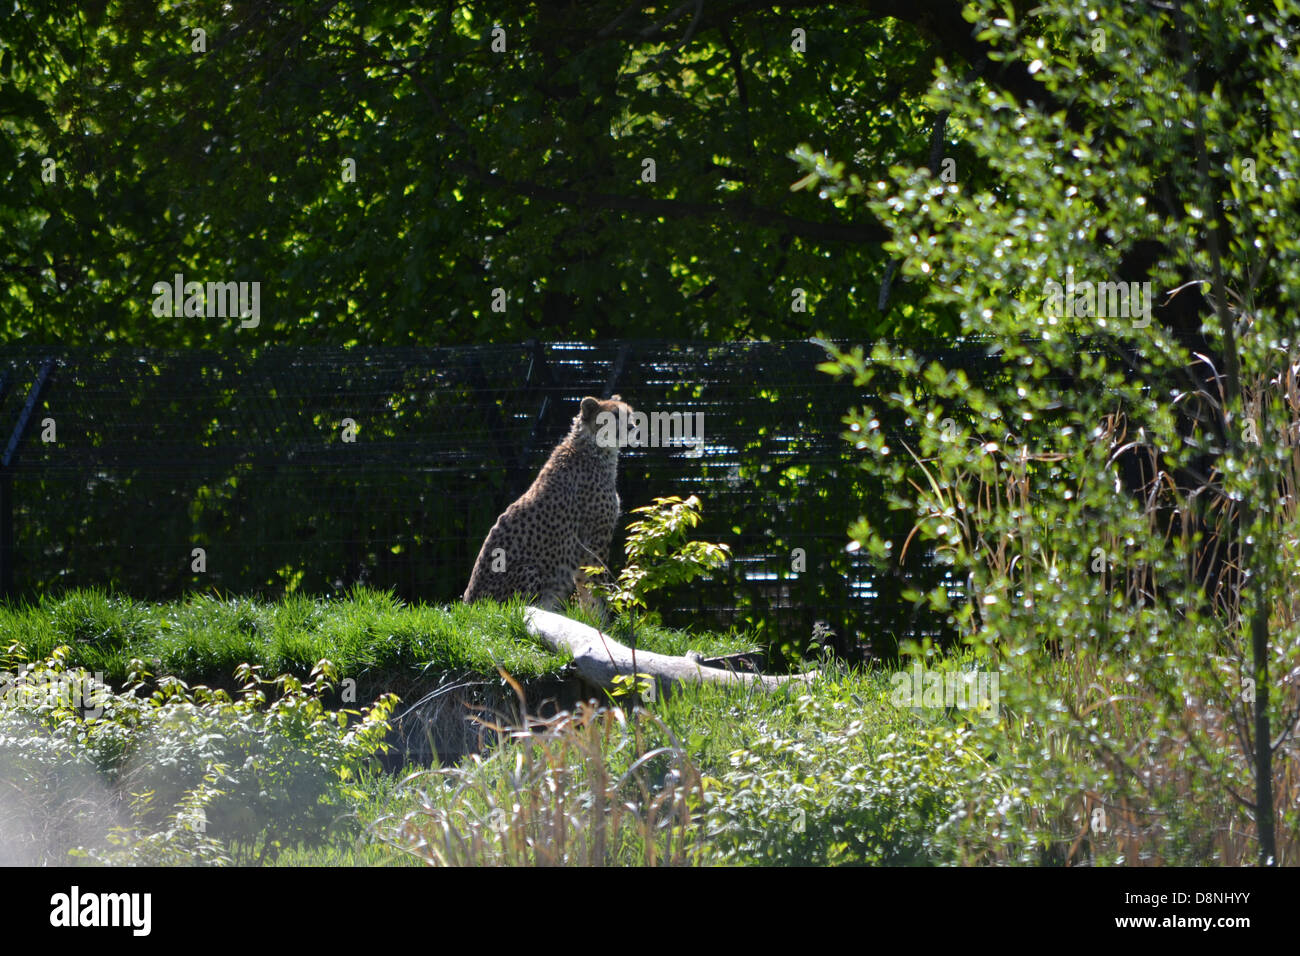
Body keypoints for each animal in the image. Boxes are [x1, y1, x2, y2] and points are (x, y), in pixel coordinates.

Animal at [463, 394, 635, 612]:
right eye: (614, 415)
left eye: (629, 414)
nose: (632, 426)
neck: (594, 448)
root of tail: (468, 605)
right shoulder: (594, 542)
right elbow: (597, 587)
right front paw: (606, 617)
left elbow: (585, 590)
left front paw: (594, 617)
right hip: (528, 571)